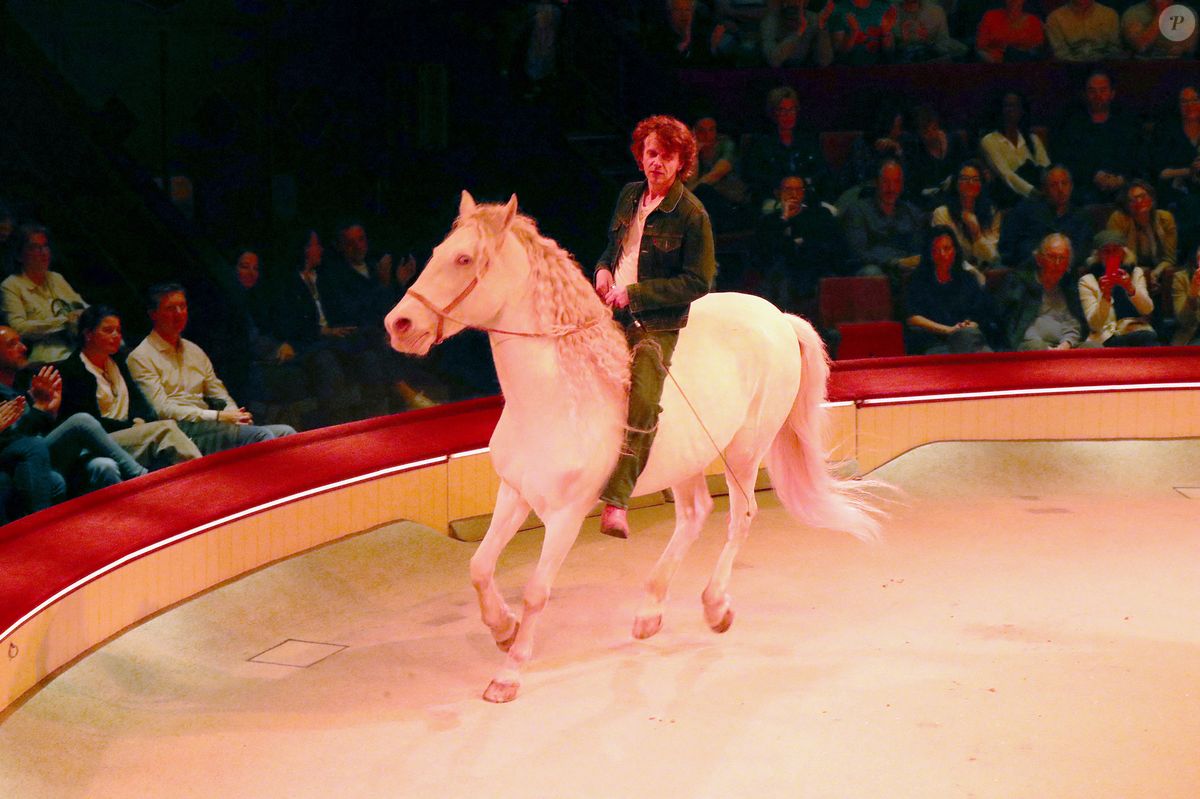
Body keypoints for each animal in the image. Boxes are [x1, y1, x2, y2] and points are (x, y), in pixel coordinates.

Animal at [385, 191, 879, 703]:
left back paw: (715, 606)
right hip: (688, 460)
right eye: (437, 253)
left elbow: (538, 590)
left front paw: (509, 672)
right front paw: (503, 628)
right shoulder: (515, 492)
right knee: (694, 514)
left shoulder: (566, 514)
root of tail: (778, 317)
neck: (557, 396)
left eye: (464, 259)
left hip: (744, 451)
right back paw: (649, 613)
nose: (398, 324)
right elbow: (480, 566)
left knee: (740, 516)